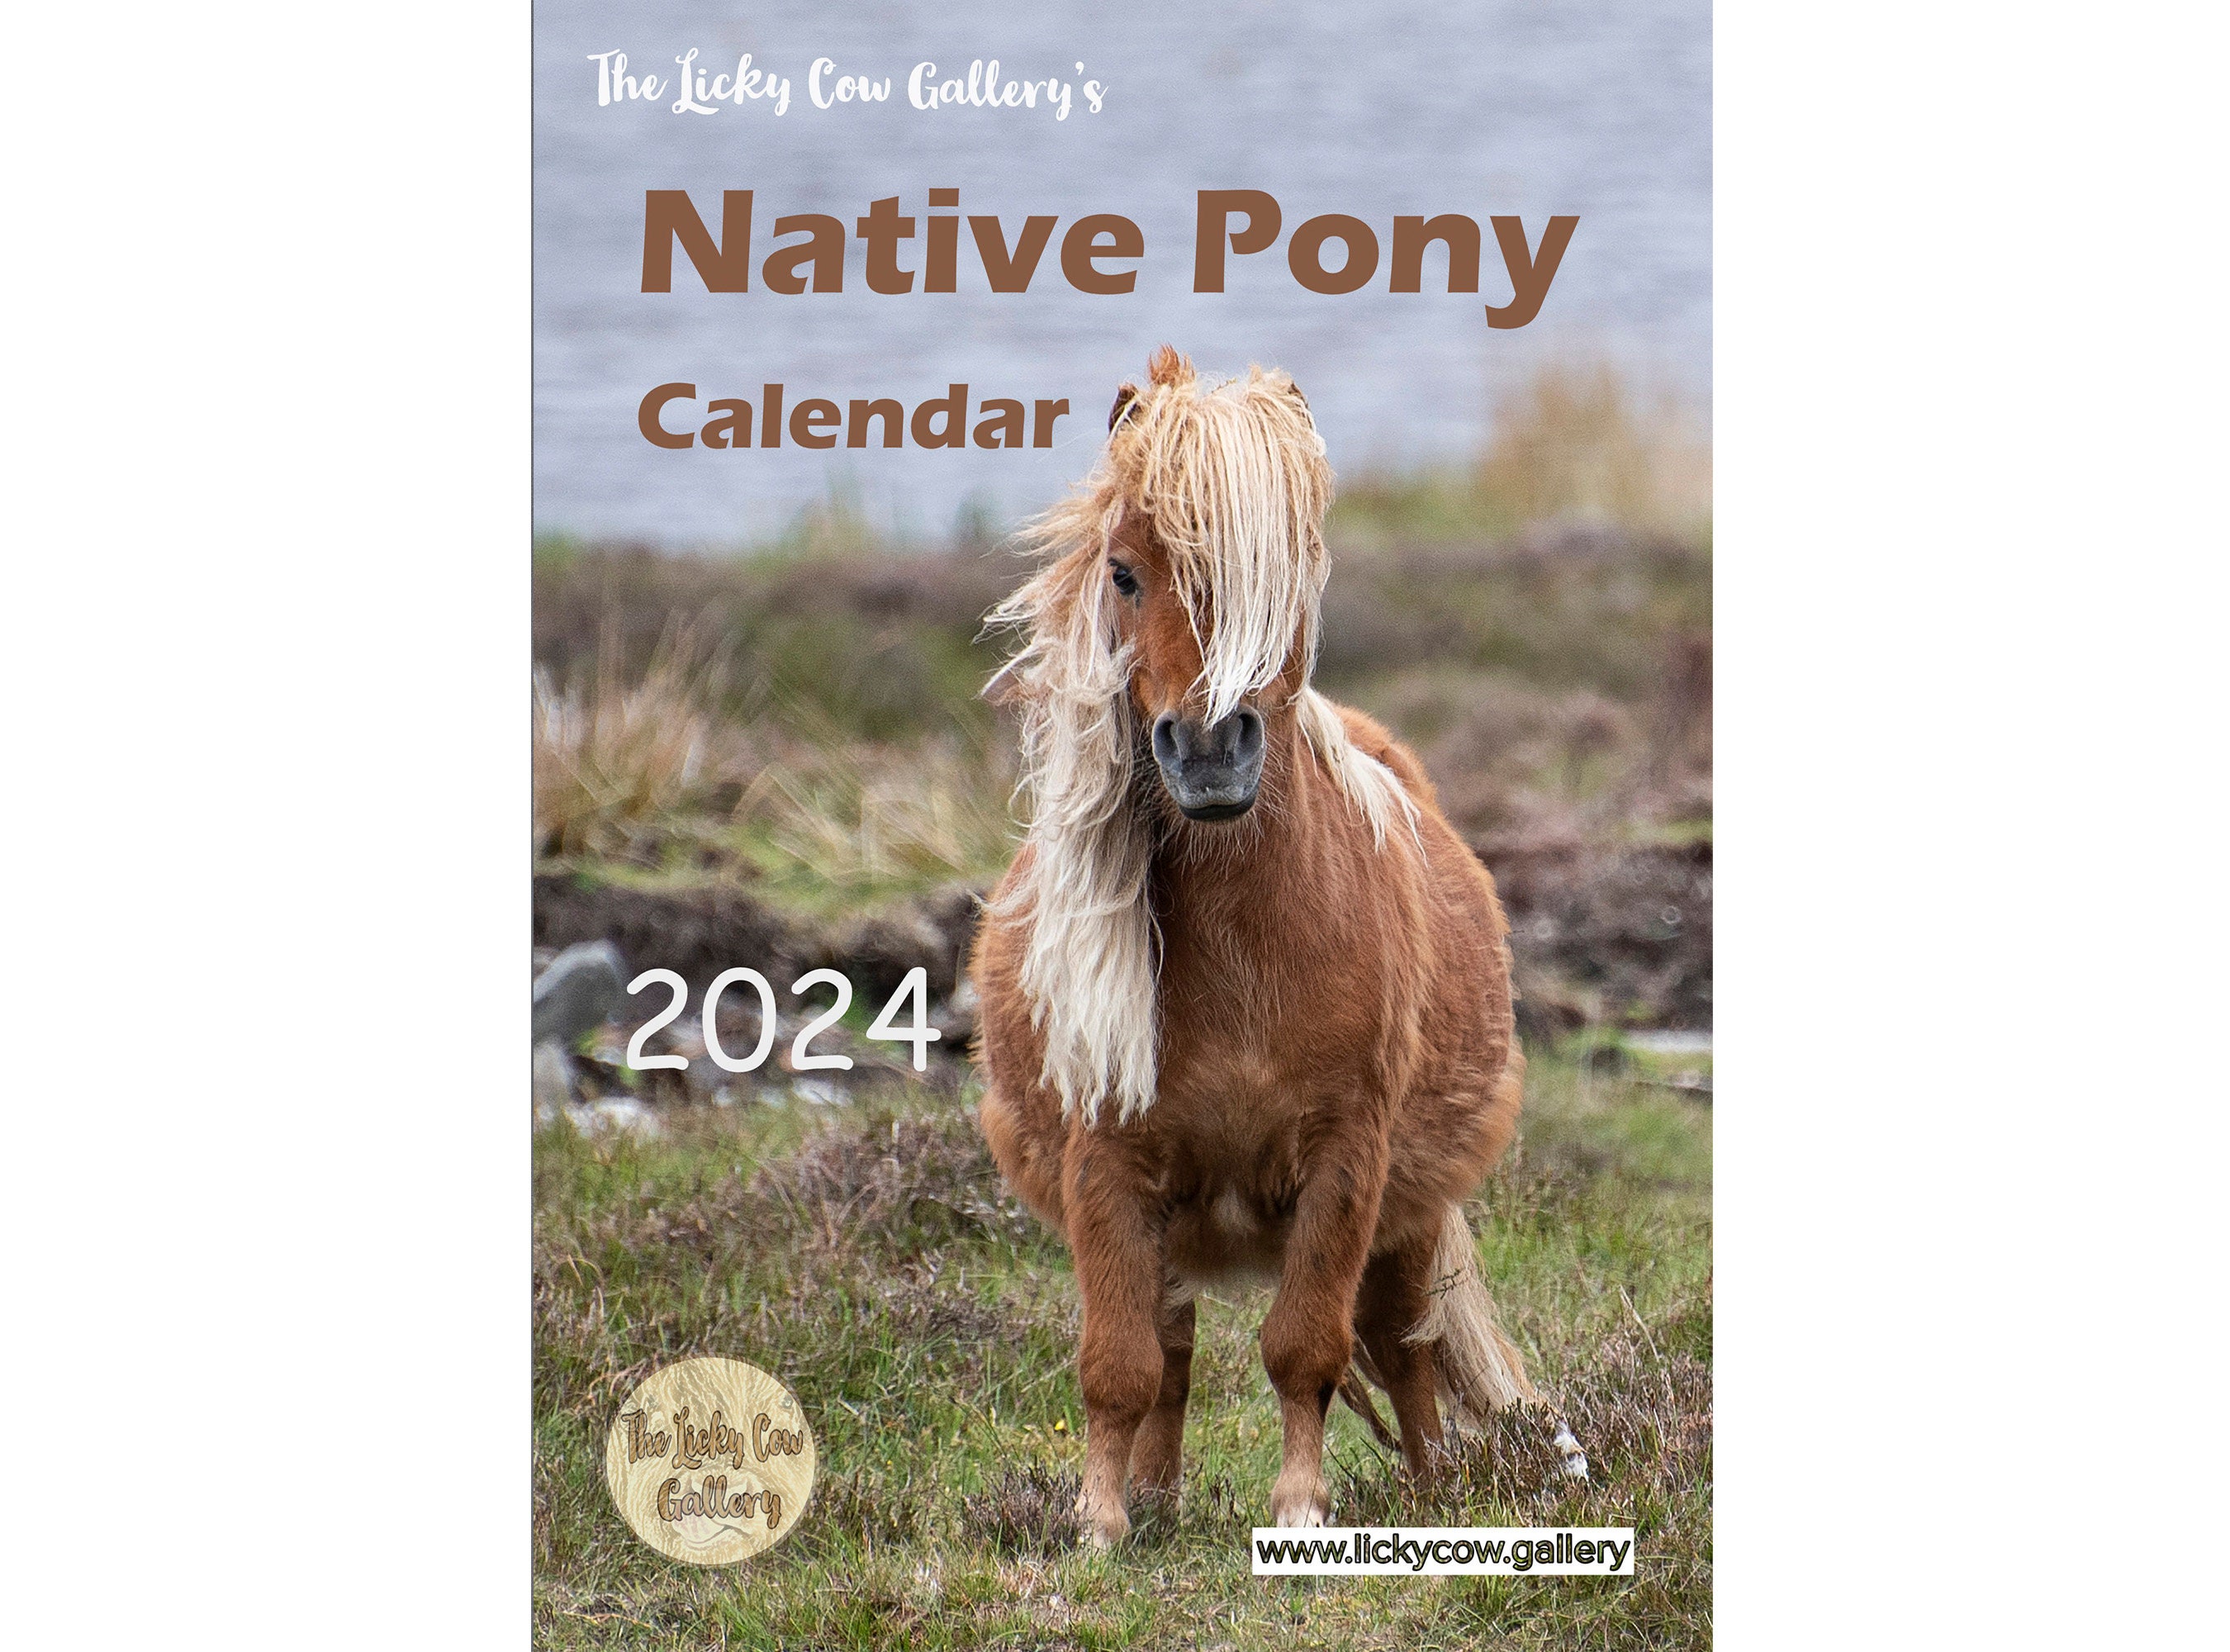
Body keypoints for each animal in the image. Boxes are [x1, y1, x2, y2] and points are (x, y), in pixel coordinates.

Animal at [970, 345, 1566, 1546]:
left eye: (1289, 567)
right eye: (1125, 571)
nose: (1209, 750)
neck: (1252, 950)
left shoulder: (1347, 1162)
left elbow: (1307, 1348)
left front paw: (1301, 1511)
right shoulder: (1108, 1167)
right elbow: (1121, 1363)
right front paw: (1099, 1525)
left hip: (1404, 1215)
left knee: (1404, 1341)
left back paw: (1432, 1489)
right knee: (1175, 1355)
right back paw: (1156, 1498)